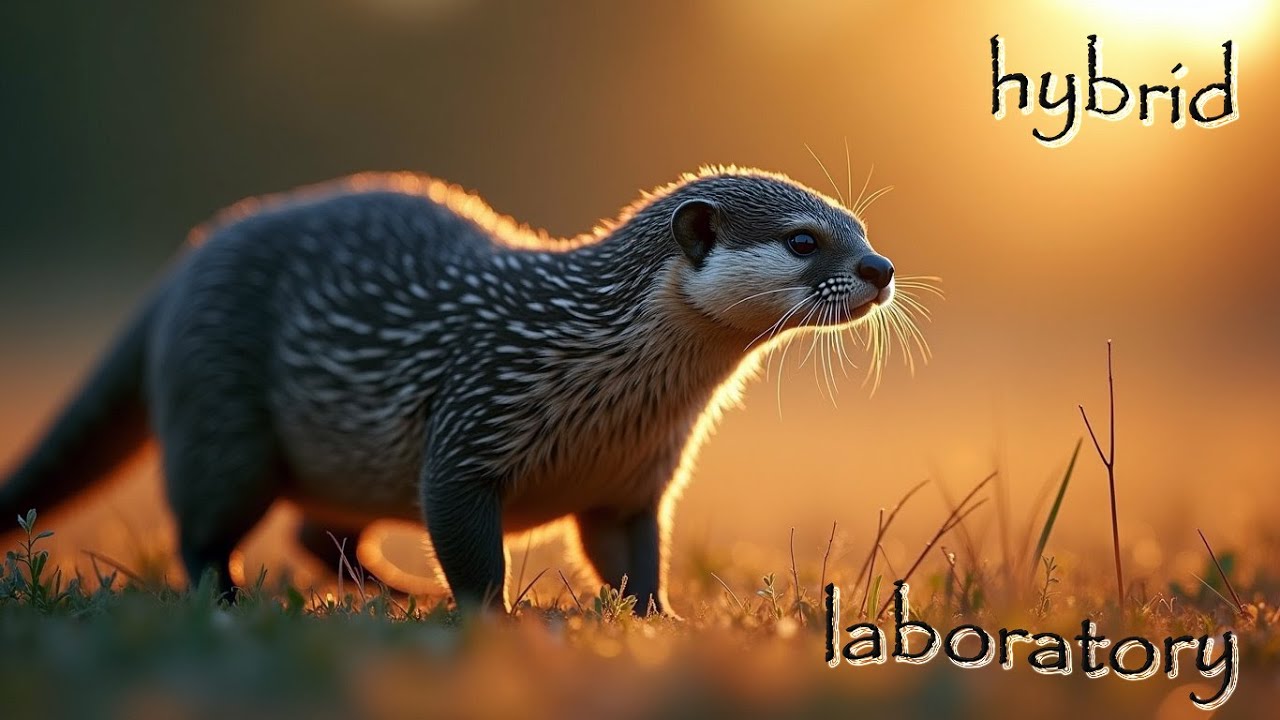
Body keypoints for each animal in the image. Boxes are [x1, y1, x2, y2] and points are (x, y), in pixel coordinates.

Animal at [0, 168, 898, 614]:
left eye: (860, 228)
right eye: (804, 240)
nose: (881, 267)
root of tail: (194, 251)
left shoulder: (634, 485)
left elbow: (636, 564)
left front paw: (660, 624)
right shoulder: (472, 427)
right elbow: (472, 553)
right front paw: (497, 624)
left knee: (318, 537)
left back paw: (399, 594)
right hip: (222, 417)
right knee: (203, 536)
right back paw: (235, 604)